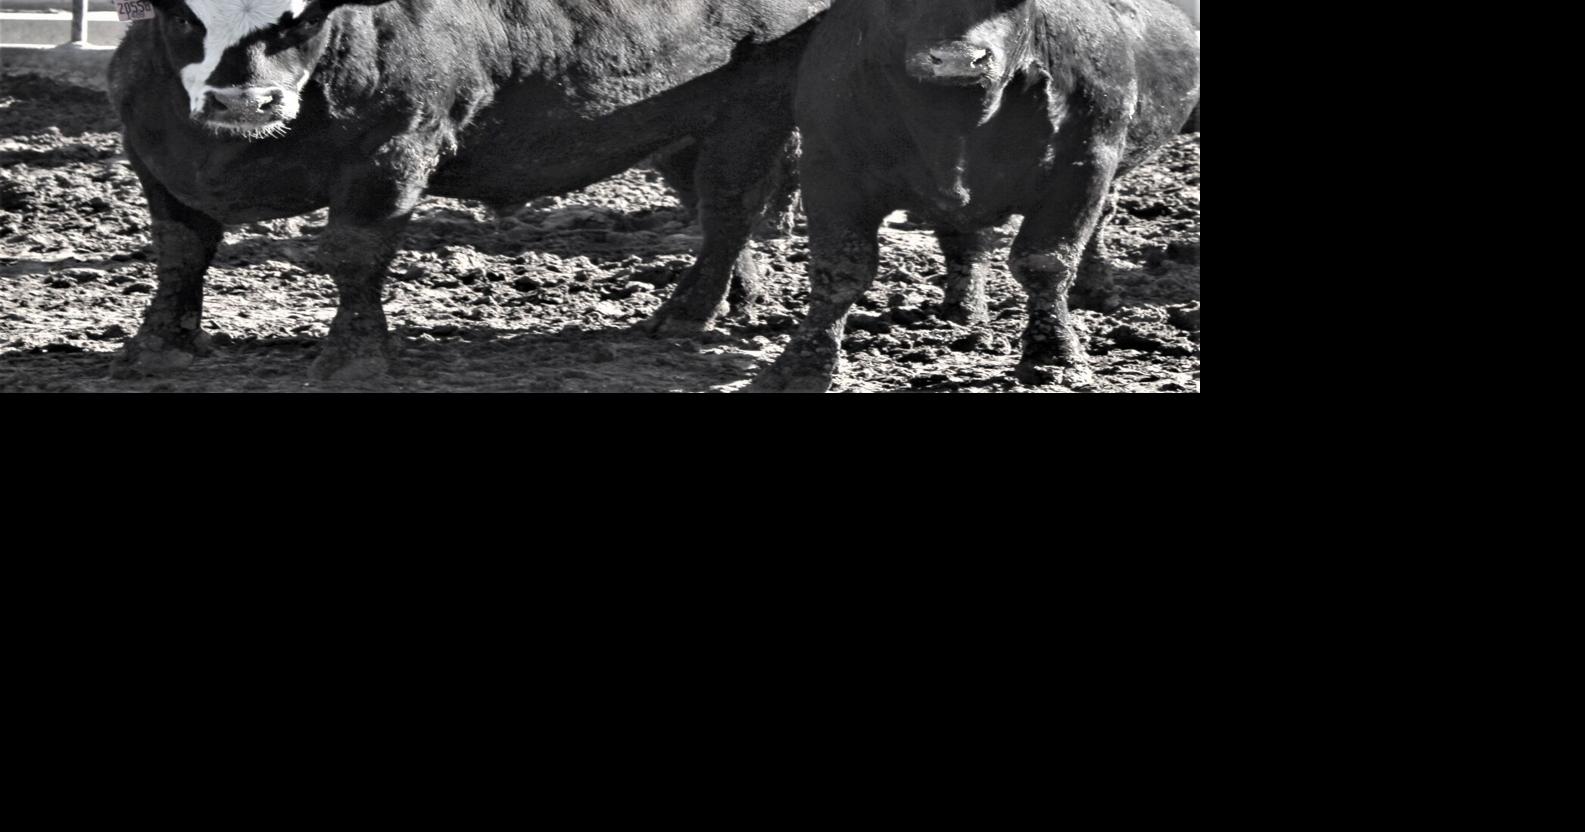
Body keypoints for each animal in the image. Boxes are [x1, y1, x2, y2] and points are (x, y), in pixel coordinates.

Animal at [106, 0, 829, 382]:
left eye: (301, 19)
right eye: (183, 16)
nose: (245, 100)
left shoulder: (394, 150)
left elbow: (353, 253)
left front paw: (355, 357)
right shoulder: (153, 160)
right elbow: (179, 252)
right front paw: (158, 344)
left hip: (750, 113)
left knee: (730, 210)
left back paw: (686, 313)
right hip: (681, 132)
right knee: (714, 215)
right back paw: (737, 297)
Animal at [751, 0, 1200, 392]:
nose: (956, 59)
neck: (955, 122)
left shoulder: (1085, 165)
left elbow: (1045, 262)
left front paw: (1054, 356)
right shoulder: (830, 166)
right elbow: (840, 270)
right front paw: (802, 363)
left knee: (1096, 221)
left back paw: (1097, 288)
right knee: (966, 240)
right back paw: (963, 310)